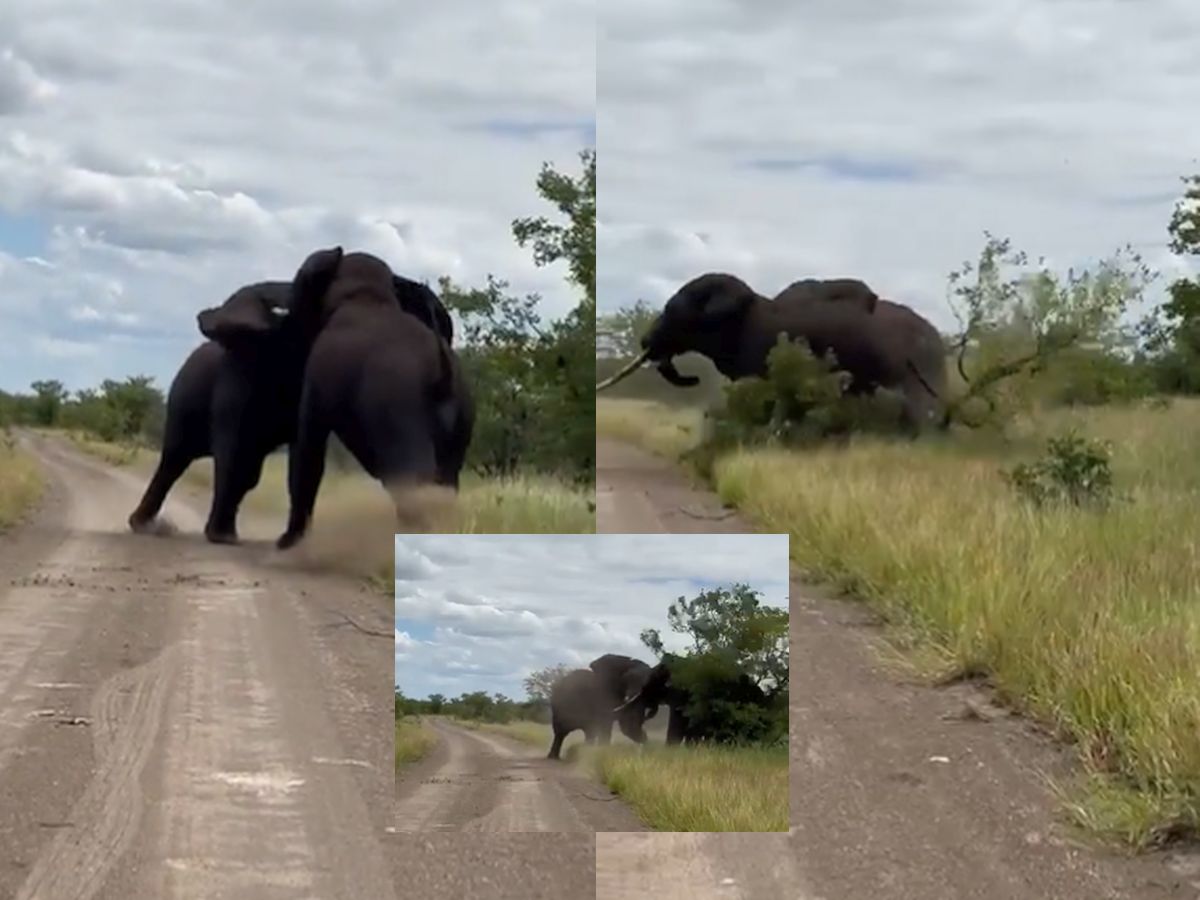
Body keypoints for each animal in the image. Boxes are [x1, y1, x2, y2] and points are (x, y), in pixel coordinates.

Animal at [275, 246, 472, 550]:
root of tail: (442, 369)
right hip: (461, 421)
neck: (365, 293)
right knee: (445, 483)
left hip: (401, 415)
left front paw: (287, 544)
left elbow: (308, 446)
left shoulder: (317, 378)